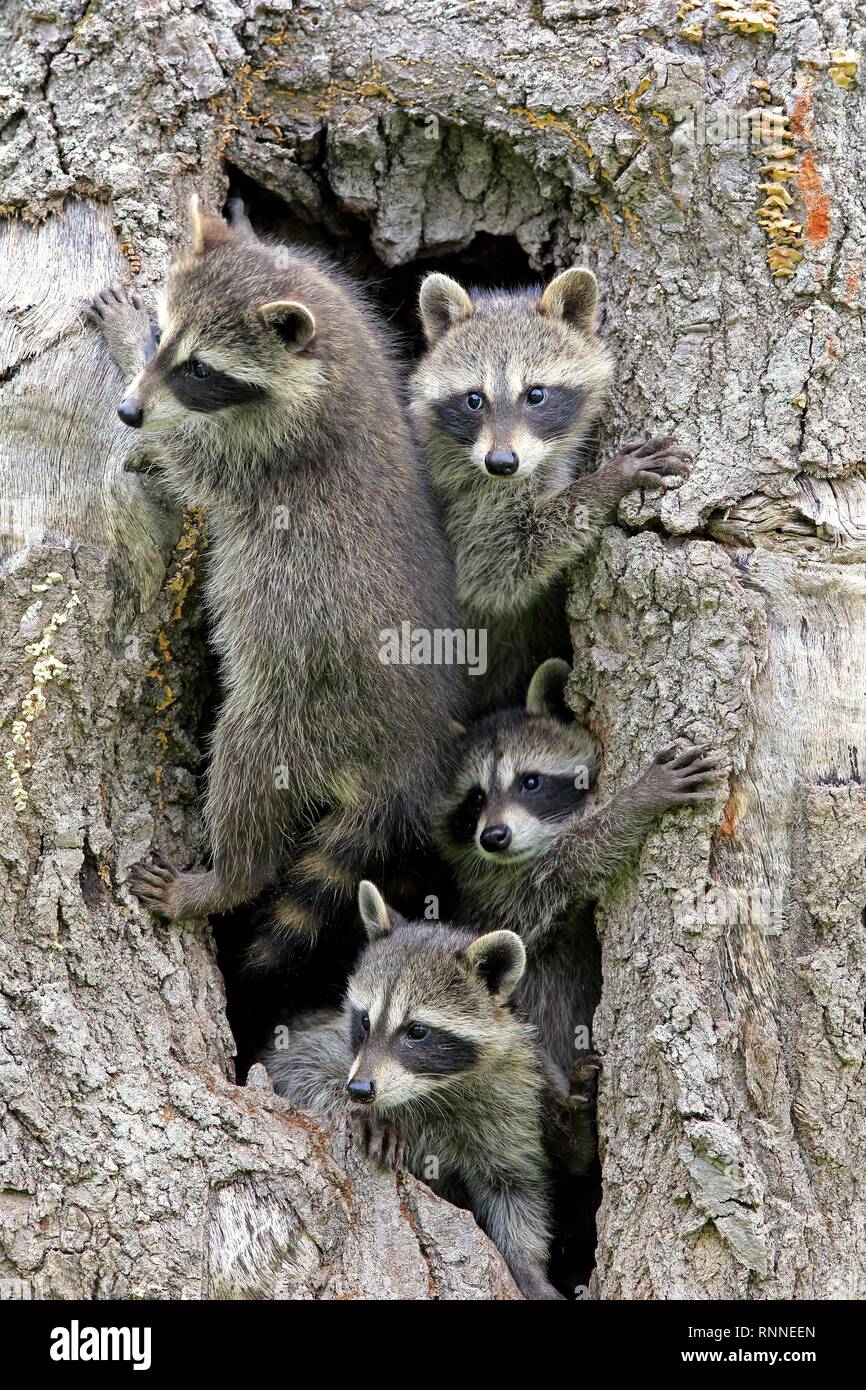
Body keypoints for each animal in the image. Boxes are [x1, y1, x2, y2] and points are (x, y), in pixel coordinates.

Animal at [86, 199, 466, 955]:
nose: (129, 411)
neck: (327, 359)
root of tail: (410, 753)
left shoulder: (268, 452)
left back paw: (224, 880)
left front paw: (126, 358)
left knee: (246, 769)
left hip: (303, 710)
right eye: (168, 336)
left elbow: (192, 460)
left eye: (200, 369)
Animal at [260, 882, 563, 1301]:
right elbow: (295, 1065)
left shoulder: (510, 1096)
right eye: (365, 1021)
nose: (360, 1090)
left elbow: (515, 1186)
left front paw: (528, 1266)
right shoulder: (330, 1044)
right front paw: (362, 1112)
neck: (434, 1088)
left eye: (417, 1031)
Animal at [410, 270, 691, 710]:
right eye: (474, 400)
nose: (501, 463)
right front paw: (606, 482)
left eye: (536, 394)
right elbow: (497, 568)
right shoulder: (465, 495)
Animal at [435, 658, 726, 1099]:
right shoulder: (508, 896)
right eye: (475, 800)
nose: (494, 837)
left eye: (530, 782)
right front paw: (637, 800)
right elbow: (578, 857)